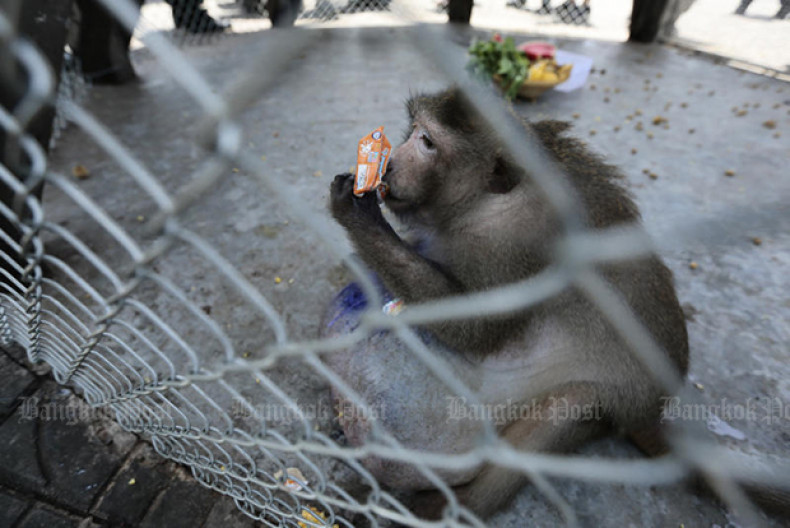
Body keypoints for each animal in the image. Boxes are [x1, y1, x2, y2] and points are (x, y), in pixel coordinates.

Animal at [320, 87, 689, 522]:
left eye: (428, 143)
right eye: (414, 130)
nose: (390, 163)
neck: (481, 202)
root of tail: (653, 411)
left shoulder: (512, 242)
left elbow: (477, 332)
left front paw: (359, 216)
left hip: (617, 401)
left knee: (570, 405)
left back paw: (460, 505)